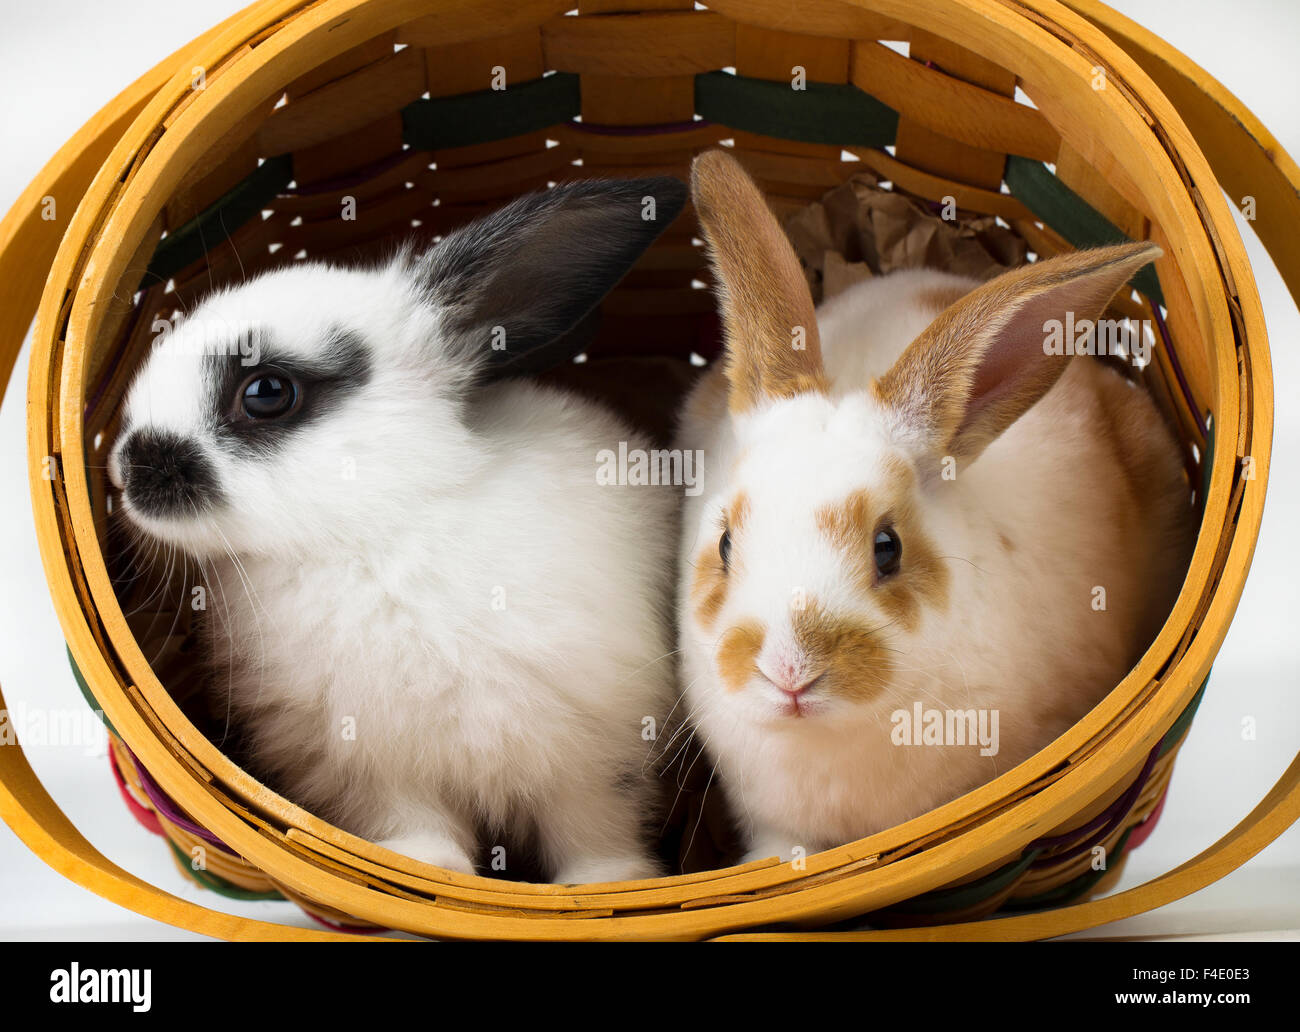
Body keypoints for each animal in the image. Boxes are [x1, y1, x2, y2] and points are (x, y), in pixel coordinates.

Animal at [107, 176, 688, 884]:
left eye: (267, 392)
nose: (127, 467)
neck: (374, 532)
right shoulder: (370, 764)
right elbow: (411, 823)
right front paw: (430, 865)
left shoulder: (595, 750)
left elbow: (593, 826)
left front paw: (608, 882)